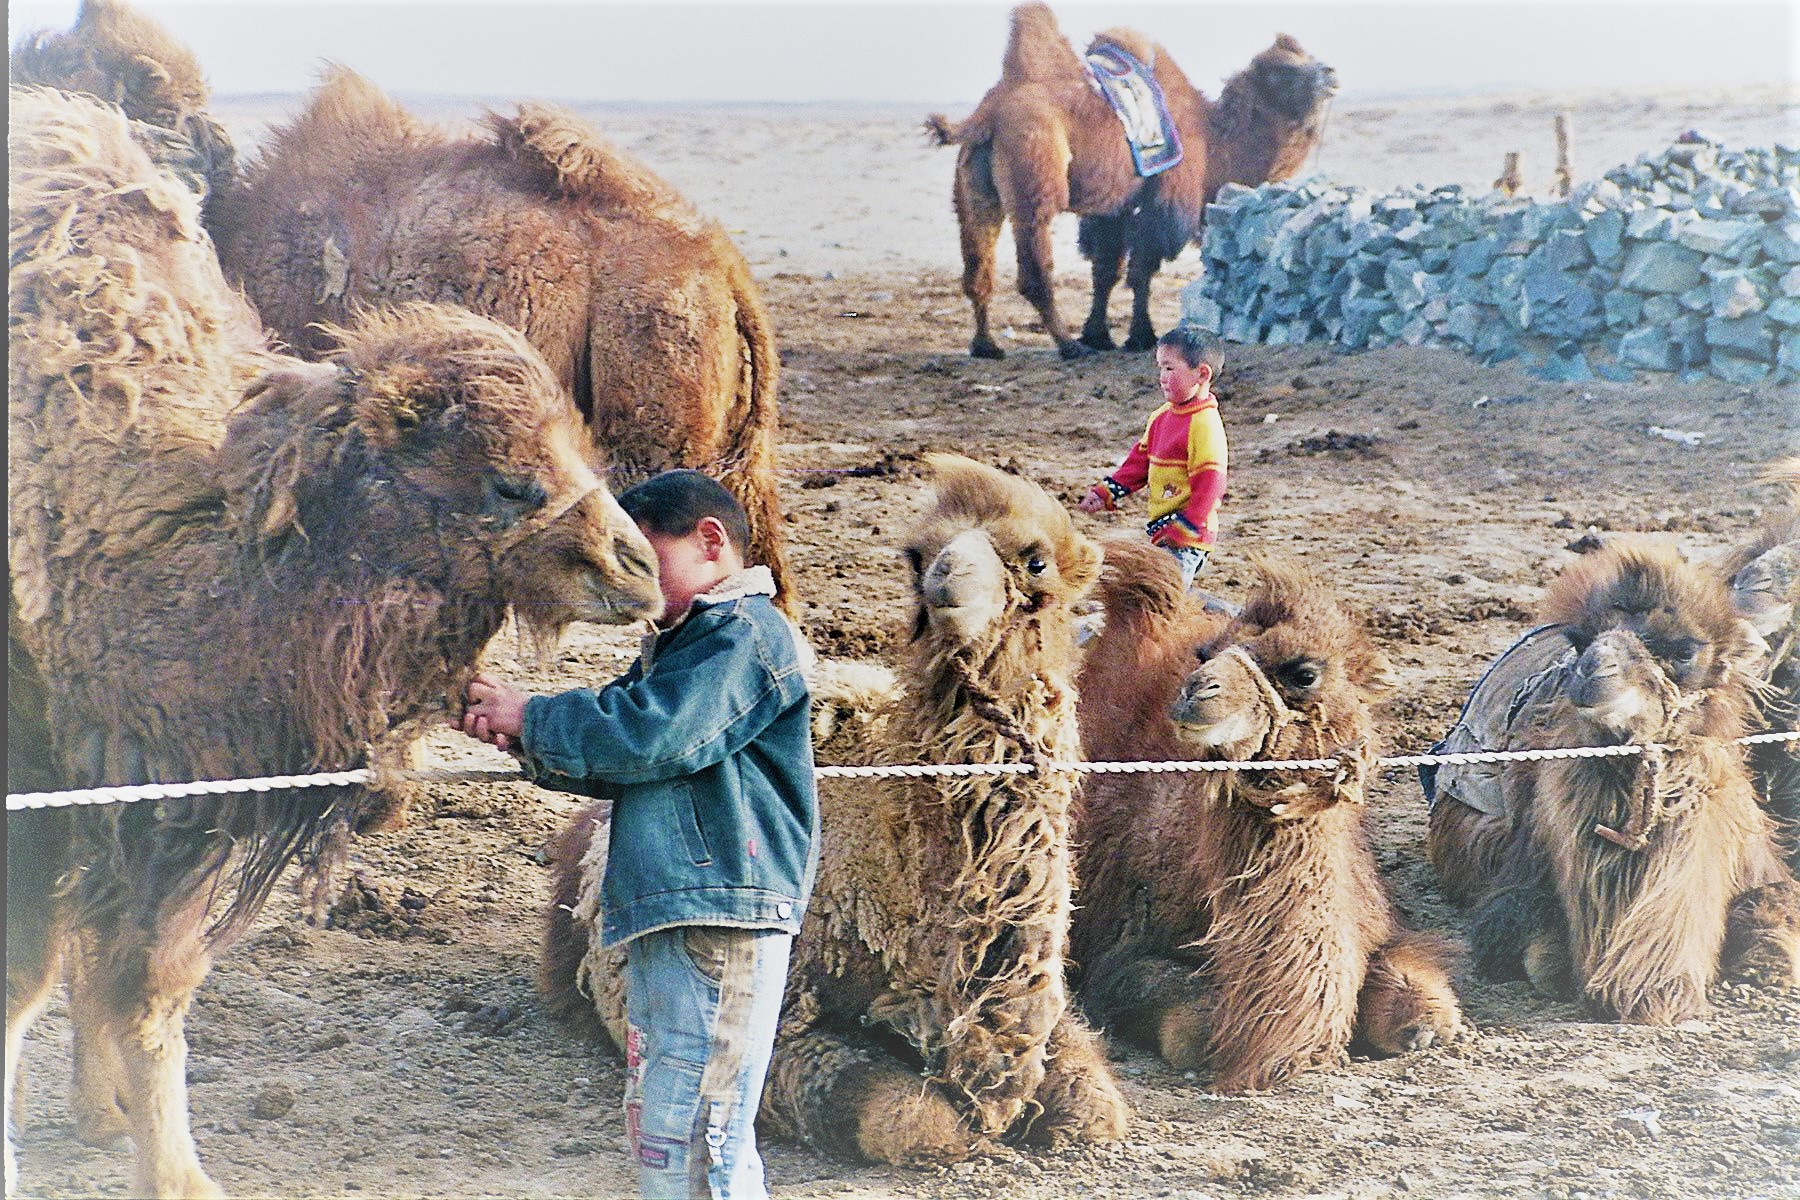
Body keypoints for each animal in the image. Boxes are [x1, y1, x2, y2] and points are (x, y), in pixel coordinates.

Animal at [6, 85, 663, 1199]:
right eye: (509, 483)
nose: (639, 568)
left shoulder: (168, 792)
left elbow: (146, 984)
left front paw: (157, 1157)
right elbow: (39, 976)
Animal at [542, 455, 1130, 1162]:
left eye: (1035, 560)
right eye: (916, 556)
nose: (948, 579)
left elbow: (1095, 1104)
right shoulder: (783, 1006)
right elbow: (902, 1114)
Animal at [927, 3, 1335, 359]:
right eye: (1285, 70)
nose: (1331, 73)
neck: (1213, 139)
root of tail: (988, 112)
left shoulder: (1115, 204)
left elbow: (1105, 270)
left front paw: (1100, 336)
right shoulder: (1163, 196)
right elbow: (1141, 271)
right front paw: (1140, 337)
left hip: (975, 185)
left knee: (978, 263)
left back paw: (986, 346)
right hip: (1034, 169)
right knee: (1033, 269)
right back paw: (1068, 346)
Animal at [1072, 539, 1461, 1092]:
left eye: (1304, 672)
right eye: (1206, 653)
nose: (1196, 692)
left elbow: (1418, 1008)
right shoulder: (1117, 948)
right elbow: (1193, 1024)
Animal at [1427, 540, 1800, 1022]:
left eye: (1684, 651)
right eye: (1582, 641)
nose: (1593, 670)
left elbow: (1771, 921)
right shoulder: (1514, 884)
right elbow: (1530, 941)